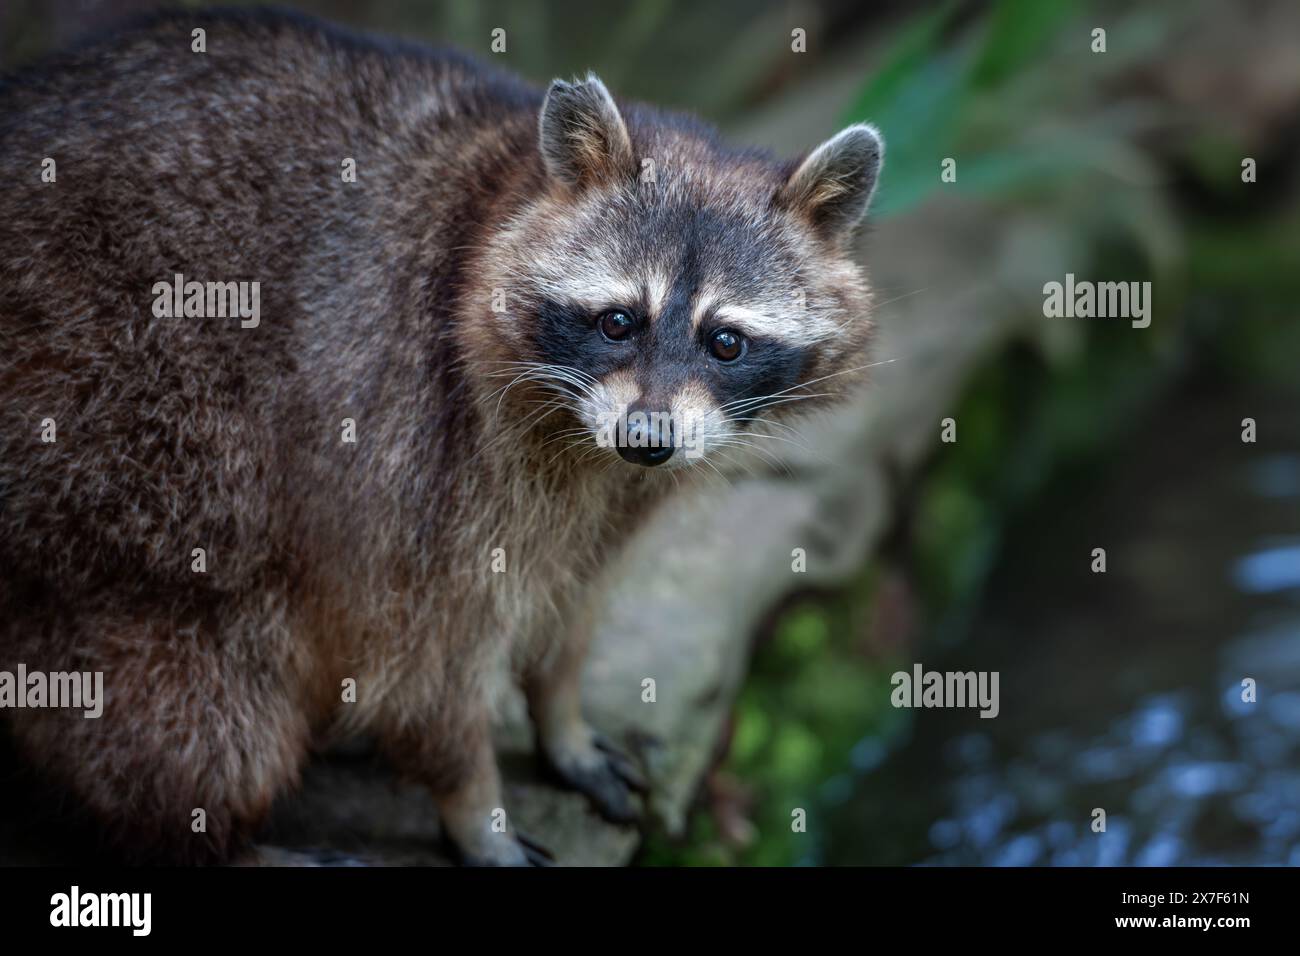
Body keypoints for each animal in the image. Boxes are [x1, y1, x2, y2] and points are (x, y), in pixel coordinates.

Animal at [0, 9, 882, 864]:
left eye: (725, 342)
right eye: (617, 321)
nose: (646, 435)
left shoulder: (619, 491)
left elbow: (573, 601)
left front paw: (559, 712)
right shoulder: (412, 444)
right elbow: (425, 662)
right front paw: (473, 803)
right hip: (122, 464)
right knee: (191, 704)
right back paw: (216, 838)